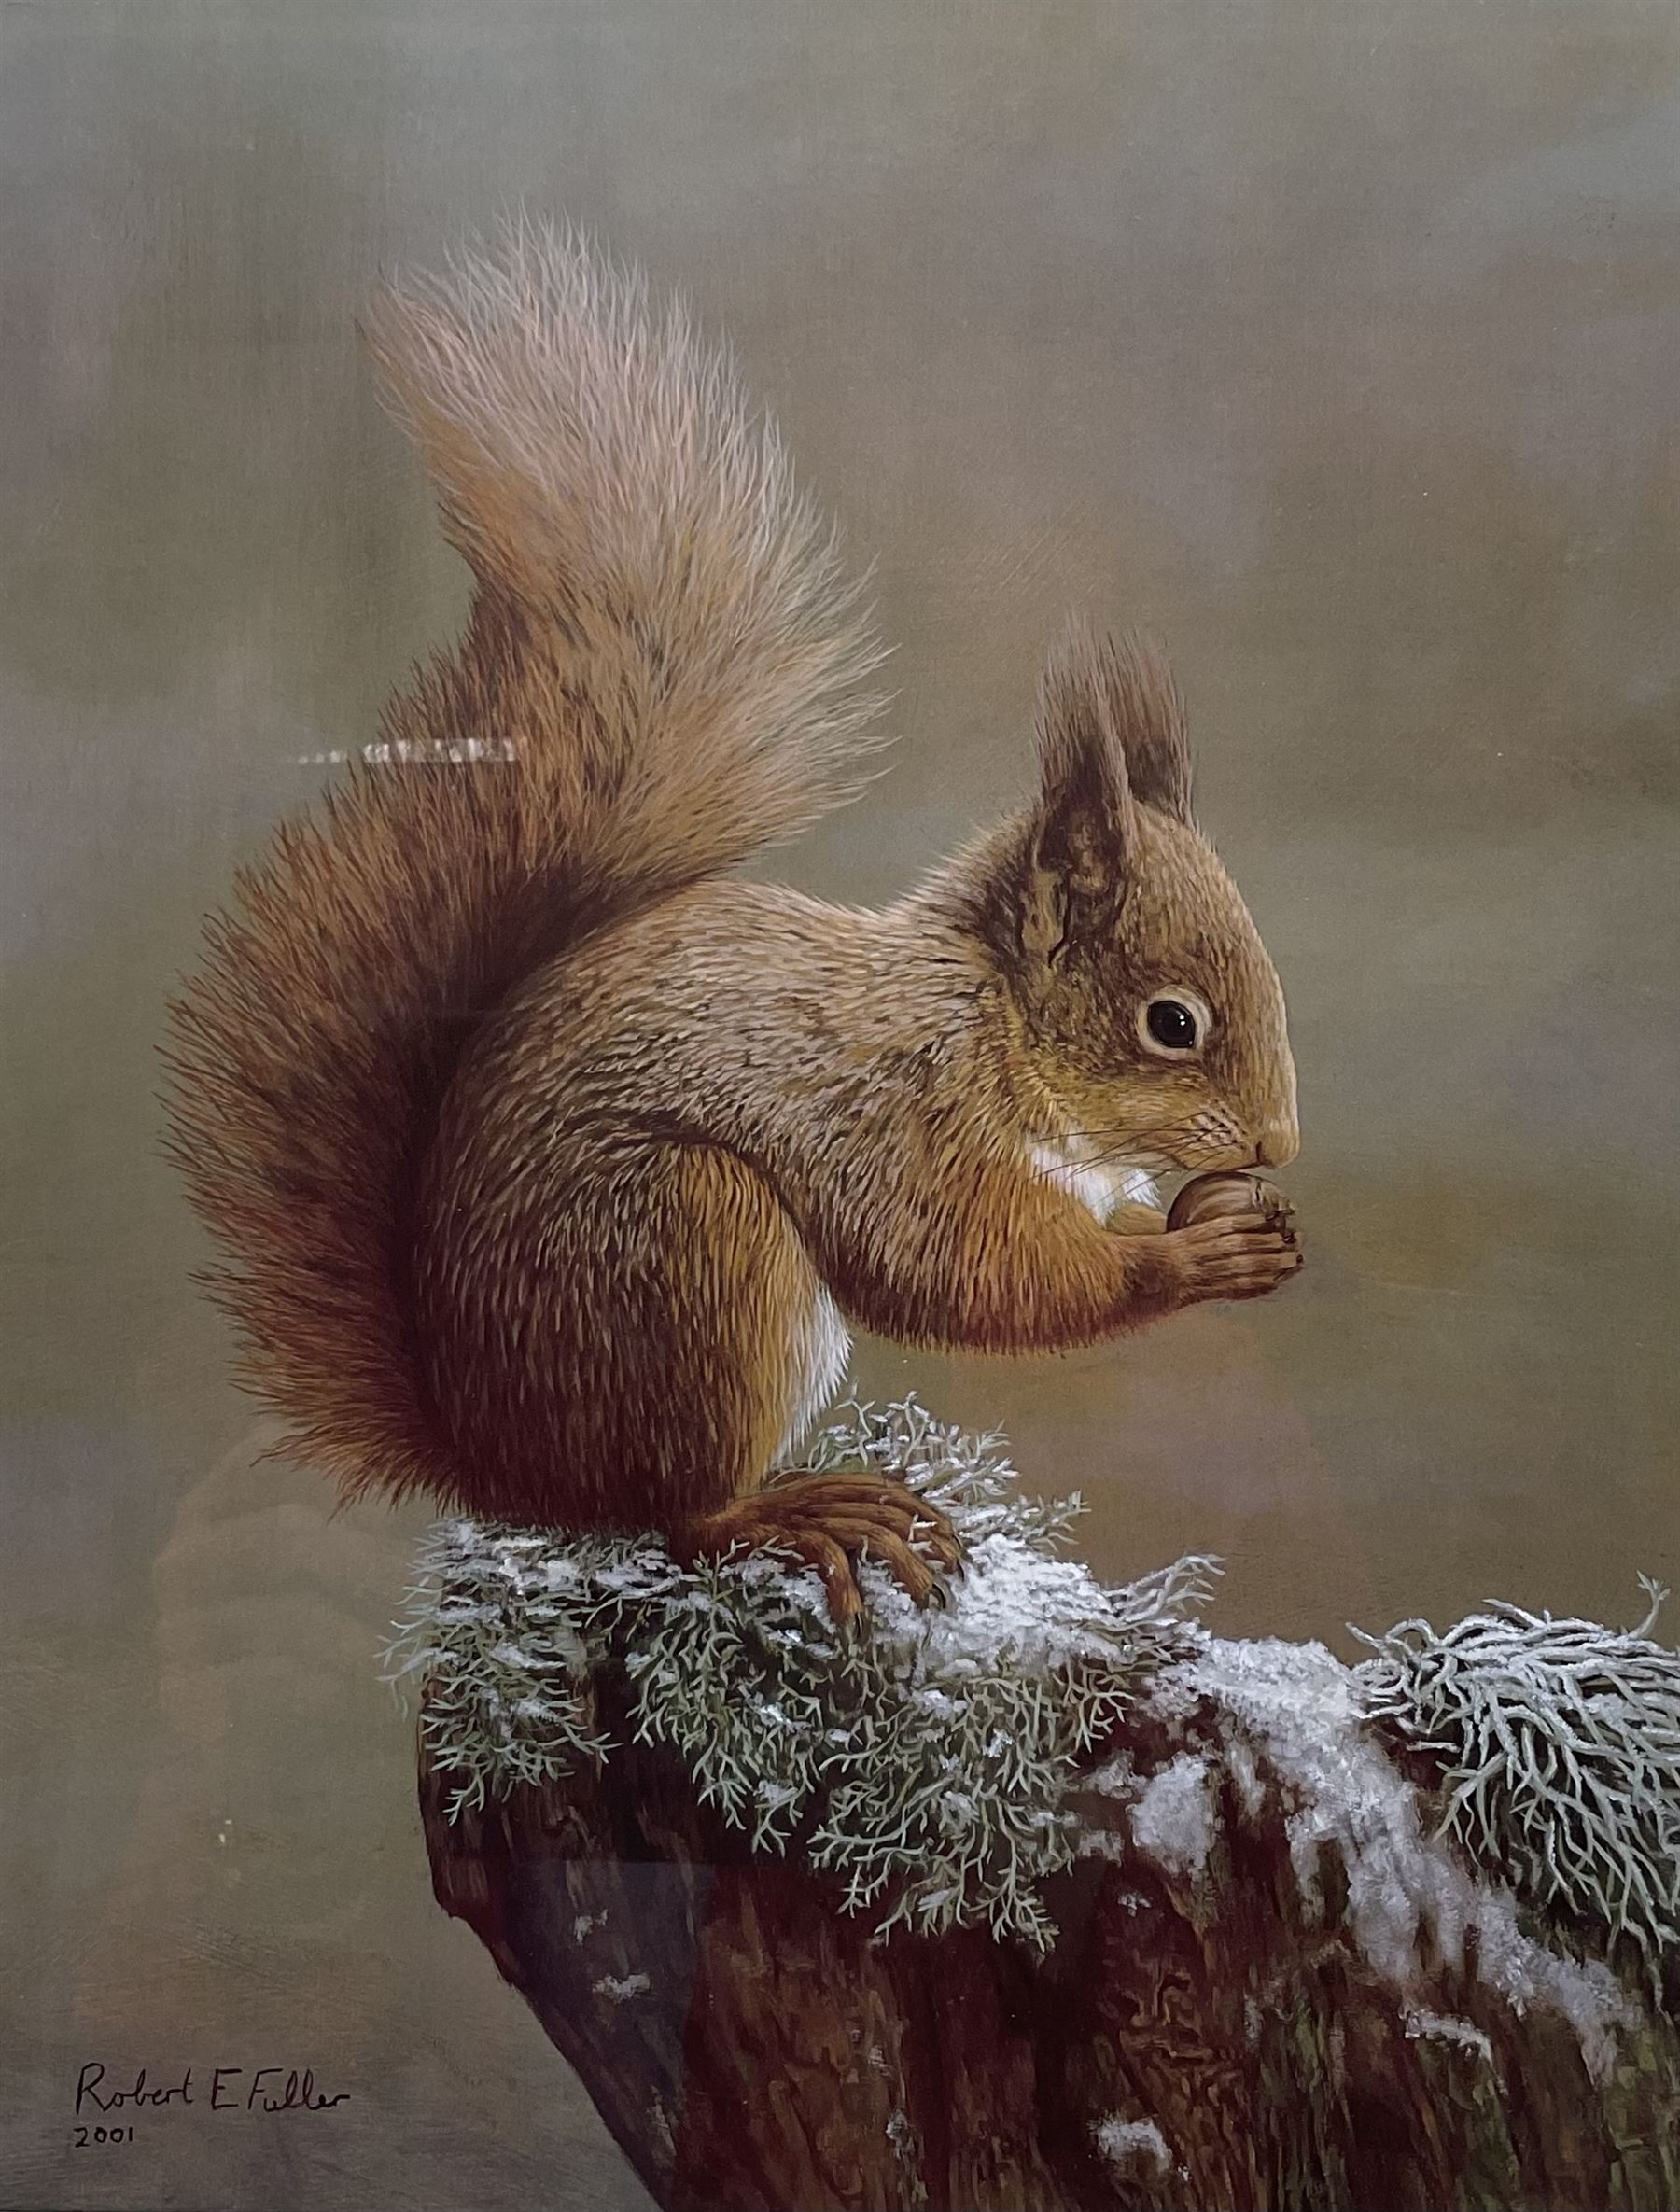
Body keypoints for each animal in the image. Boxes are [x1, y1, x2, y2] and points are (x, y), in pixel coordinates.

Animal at [164, 224, 1302, 1623]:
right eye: (1170, 1022)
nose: (1282, 1141)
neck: (986, 1017)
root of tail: (495, 1462)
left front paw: (1222, 1220)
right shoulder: (895, 1115)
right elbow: (966, 1271)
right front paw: (1189, 1263)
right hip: (691, 1255)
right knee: (675, 1511)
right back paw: (801, 1510)